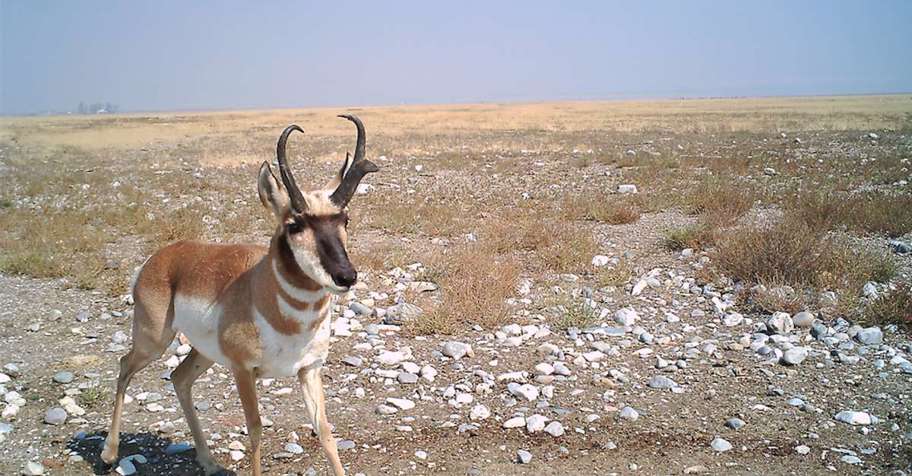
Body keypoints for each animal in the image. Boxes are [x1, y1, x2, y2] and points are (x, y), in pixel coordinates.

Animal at [100, 115, 378, 476]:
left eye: (344, 218)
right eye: (294, 224)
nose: (346, 276)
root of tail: (165, 256)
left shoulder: (309, 370)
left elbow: (325, 431)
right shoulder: (244, 371)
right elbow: (256, 429)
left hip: (203, 353)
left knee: (179, 378)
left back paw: (208, 462)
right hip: (154, 341)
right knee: (125, 365)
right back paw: (108, 454)